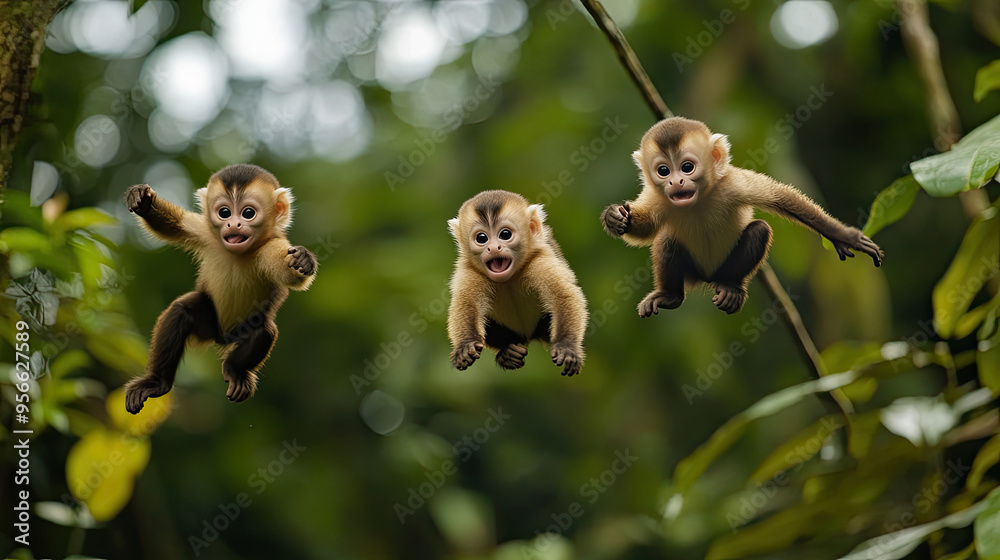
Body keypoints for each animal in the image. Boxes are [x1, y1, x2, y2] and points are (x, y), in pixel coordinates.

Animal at [123, 163, 317, 413]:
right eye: (224, 212)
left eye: (248, 213)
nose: (233, 224)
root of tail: (221, 337)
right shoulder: (206, 233)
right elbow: (175, 225)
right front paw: (143, 201)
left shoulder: (270, 246)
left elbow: (291, 274)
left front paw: (303, 259)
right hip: (207, 324)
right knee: (181, 310)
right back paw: (158, 382)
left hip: (237, 330)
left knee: (263, 330)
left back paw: (234, 369)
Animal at [447, 190, 588, 376]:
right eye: (482, 238)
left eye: (505, 234)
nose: (494, 248)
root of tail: (527, 336)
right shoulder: (469, 270)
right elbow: (466, 304)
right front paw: (465, 345)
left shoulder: (539, 260)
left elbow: (563, 297)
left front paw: (566, 347)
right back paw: (508, 353)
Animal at [601, 117, 883, 316]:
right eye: (663, 171)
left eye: (687, 167)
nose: (676, 181)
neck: (699, 202)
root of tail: (707, 277)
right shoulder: (658, 198)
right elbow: (648, 228)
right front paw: (614, 217)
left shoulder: (733, 184)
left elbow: (782, 199)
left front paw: (844, 237)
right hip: (689, 271)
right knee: (667, 239)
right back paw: (671, 296)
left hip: (725, 267)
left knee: (760, 230)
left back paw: (730, 288)